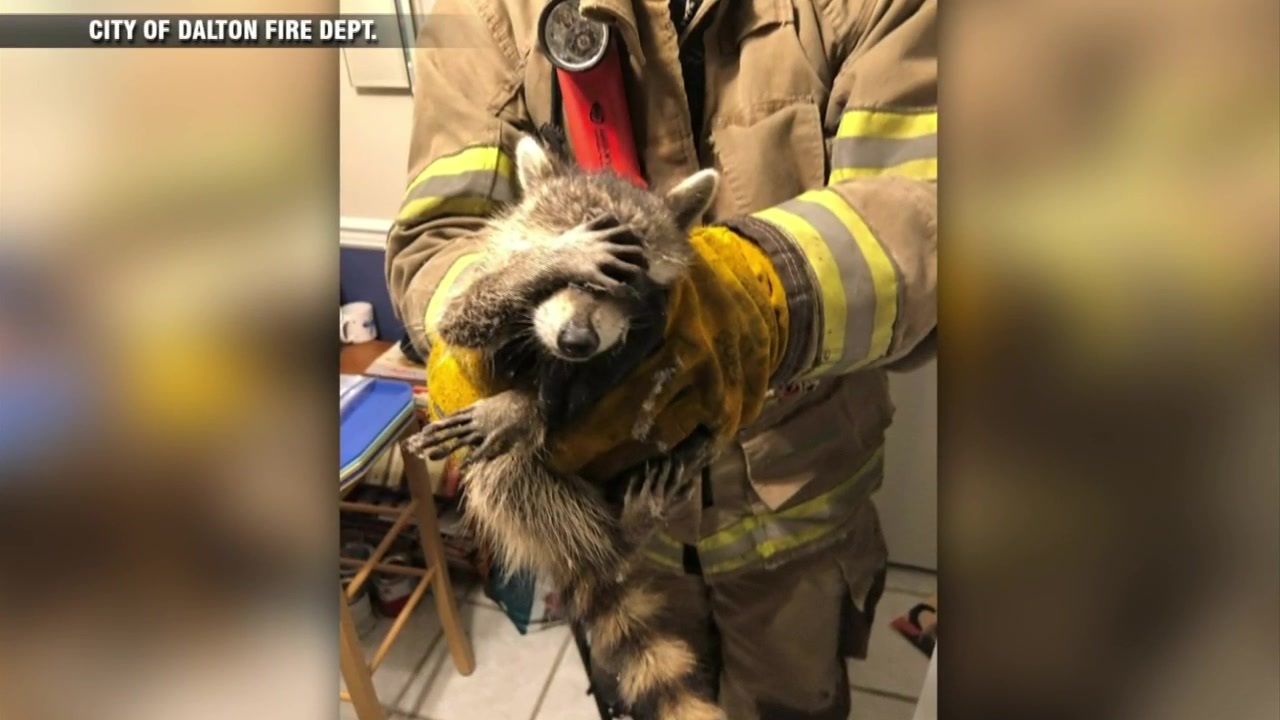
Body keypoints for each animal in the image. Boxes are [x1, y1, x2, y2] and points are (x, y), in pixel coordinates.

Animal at [408, 136, 725, 720]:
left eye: (632, 283)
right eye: (562, 279)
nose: (576, 341)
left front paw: (528, 405)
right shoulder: (479, 289)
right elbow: (461, 315)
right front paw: (557, 255)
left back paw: (629, 529)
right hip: (516, 483)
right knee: (510, 479)